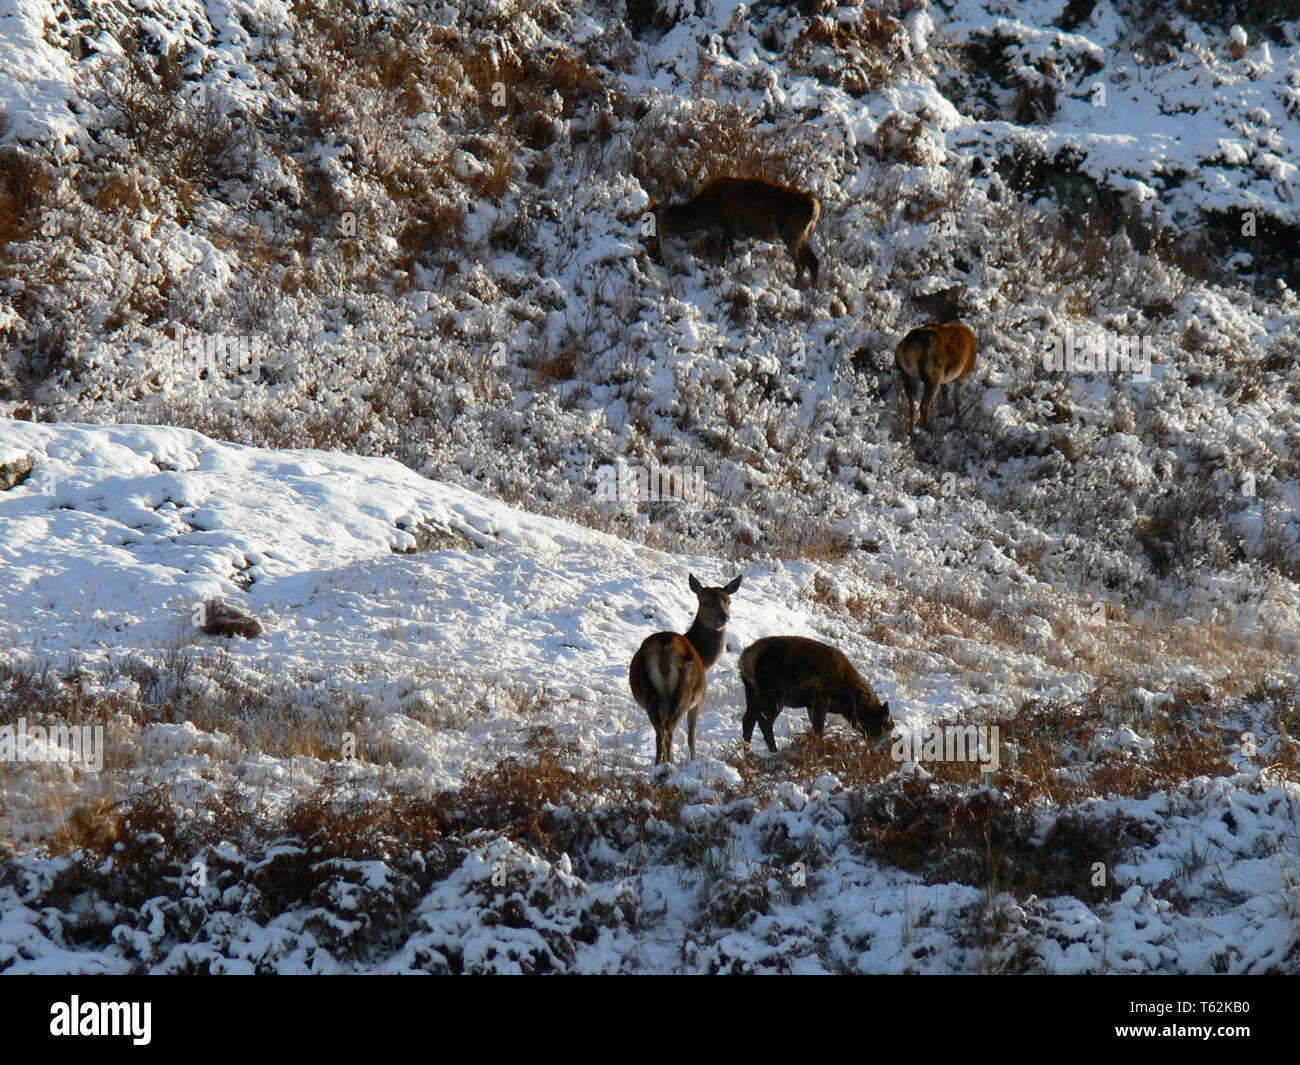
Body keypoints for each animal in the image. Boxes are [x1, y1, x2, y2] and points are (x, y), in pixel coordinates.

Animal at [629, 573, 743, 766]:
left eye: (728, 600)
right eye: (704, 602)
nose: (723, 616)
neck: (704, 658)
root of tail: (663, 647)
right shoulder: (700, 698)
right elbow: (692, 736)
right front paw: (694, 760)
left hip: (649, 694)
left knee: (659, 733)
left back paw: (659, 766)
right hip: (684, 691)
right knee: (669, 731)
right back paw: (671, 765)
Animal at [651, 177, 821, 287]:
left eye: (651, 222)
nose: (652, 244)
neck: (704, 214)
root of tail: (815, 207)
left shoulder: (729, 225)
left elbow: (724, 253)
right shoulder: (728, 230)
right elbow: (729, 251)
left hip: (790, 232)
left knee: (801, 264)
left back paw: (797, 288)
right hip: (803, 235)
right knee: (813, 262)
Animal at [738, 636, 892, 753]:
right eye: (882, 724)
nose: (882, 747)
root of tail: (745, 659)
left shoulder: (810, 705)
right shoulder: (820, 700)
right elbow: (819, 730)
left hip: (751, 692)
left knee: (748, 719)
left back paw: (747, 752)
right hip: (774, 696)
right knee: (764, 721)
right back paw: (774, 751)